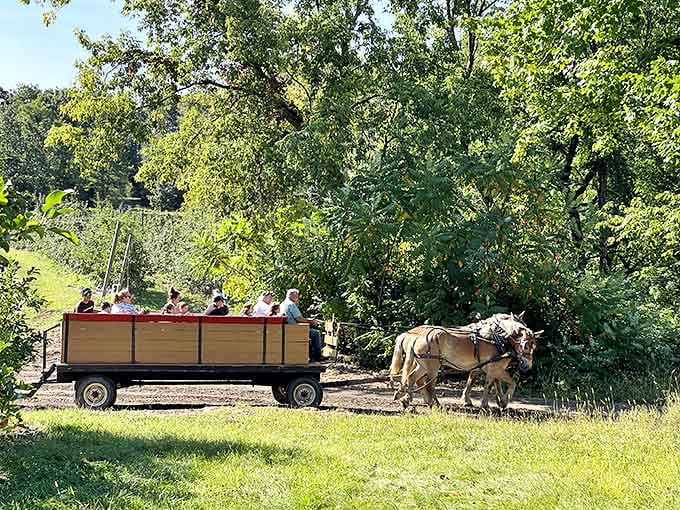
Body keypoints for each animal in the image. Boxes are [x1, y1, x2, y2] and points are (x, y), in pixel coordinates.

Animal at [389, 313, 540, 409]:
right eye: (526, 346)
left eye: (534, 346)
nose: (527, 365)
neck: (499, 339)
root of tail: (414, 336)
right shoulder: (495, 369)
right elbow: (500, 383)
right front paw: (494, 403)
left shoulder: (485, 368)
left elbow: (482, 383)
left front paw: (498, 402)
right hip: (432, 366)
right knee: (428, 384)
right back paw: (433, 403)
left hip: (423, 365)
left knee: (412, 378)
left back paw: (406, 399)